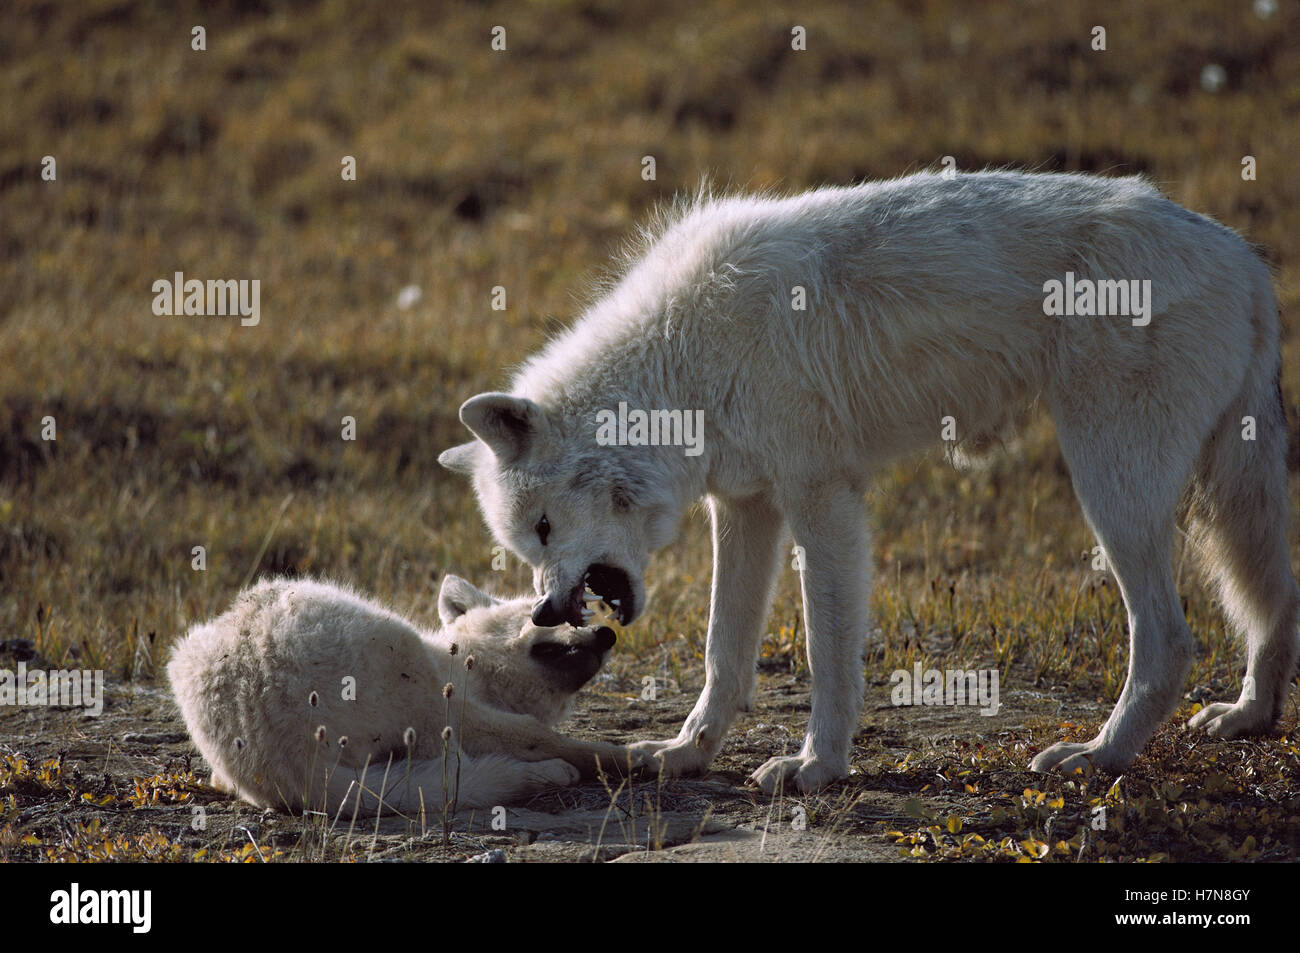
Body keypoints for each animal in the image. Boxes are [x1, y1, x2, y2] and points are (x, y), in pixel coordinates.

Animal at [168, 575, 639, 816]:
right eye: (543, 614)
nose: (608, 634)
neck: (465, 664)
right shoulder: (465, 712)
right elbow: (553, 738)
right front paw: (641, 755)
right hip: (409, 667)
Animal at [440, 170, 1299, 793]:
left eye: (542, 529)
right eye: (527, 547)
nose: (546, 610)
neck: (679, 361)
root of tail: (1244, 257)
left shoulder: (822, 502)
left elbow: (827, 655)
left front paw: (816, 767)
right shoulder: (746, 506)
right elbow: (724, 653)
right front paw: (687, 753)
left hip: (1112, 491)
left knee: (1169, 640)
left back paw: (1097, 756)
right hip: (1222, 500)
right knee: (1277, 597)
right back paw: (1249, 715)